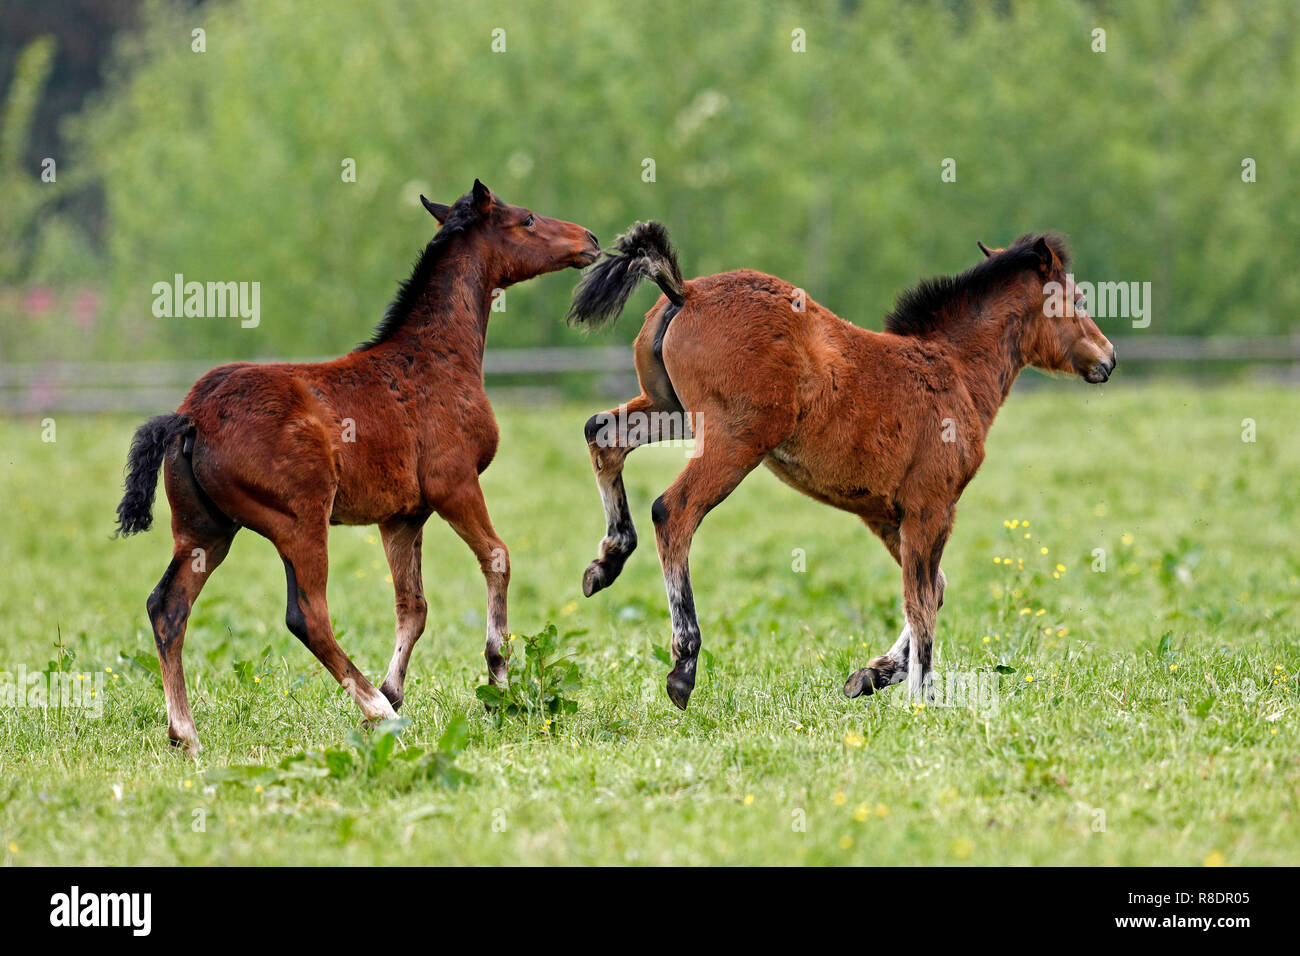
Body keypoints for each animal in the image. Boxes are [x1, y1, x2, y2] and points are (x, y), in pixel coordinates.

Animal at [115, 179, 599, 751]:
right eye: (526, 220)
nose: (590, 239)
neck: (439, 357)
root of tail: (190, 416)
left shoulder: (401, 516)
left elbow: (413, 607)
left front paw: (397, 688)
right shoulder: (454, 485)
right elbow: (498, 557)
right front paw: (497, 677)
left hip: (205, 528)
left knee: (167, 606)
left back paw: (187, 735)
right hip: (299, 519)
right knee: (308, 615)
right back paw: (374, 709)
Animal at [567, 223, 1114, 709]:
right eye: (1076, 302)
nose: (1107, 358)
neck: (954, 369)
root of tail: (687, 291)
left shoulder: (884, 513)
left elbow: (934, 589)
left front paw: (872, 675)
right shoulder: (932, 506)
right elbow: (921, 600)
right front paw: (923, 698)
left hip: (671, 410)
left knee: (603, 434)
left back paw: (606, 562)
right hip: (734, 440)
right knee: (673, 510)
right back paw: (683, 666)